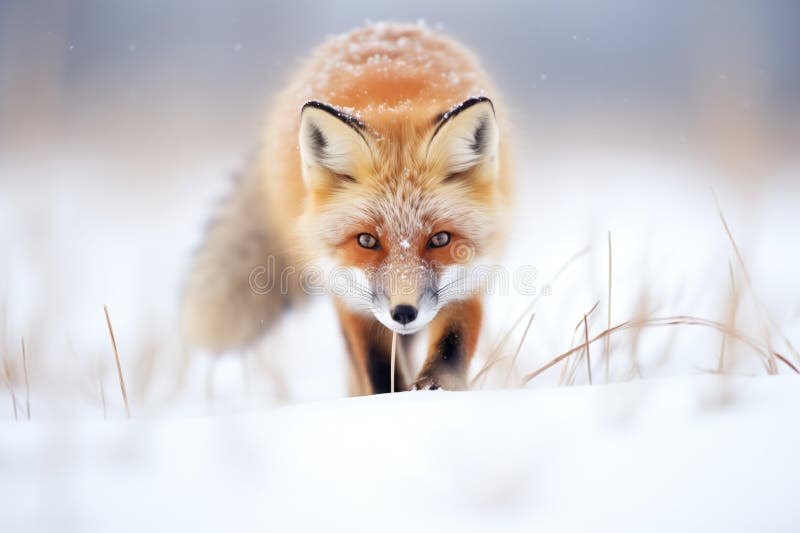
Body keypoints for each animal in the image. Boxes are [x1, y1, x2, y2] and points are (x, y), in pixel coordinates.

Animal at [181, 22, 511, 394]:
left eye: (440, 239)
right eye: (366, 241)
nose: (404, 313)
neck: (395, 100)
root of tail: (386, 26)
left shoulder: (473, 273)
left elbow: (452, 347)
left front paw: (435, 389)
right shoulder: (350, 295)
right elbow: (376, 366)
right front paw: (385, 400)